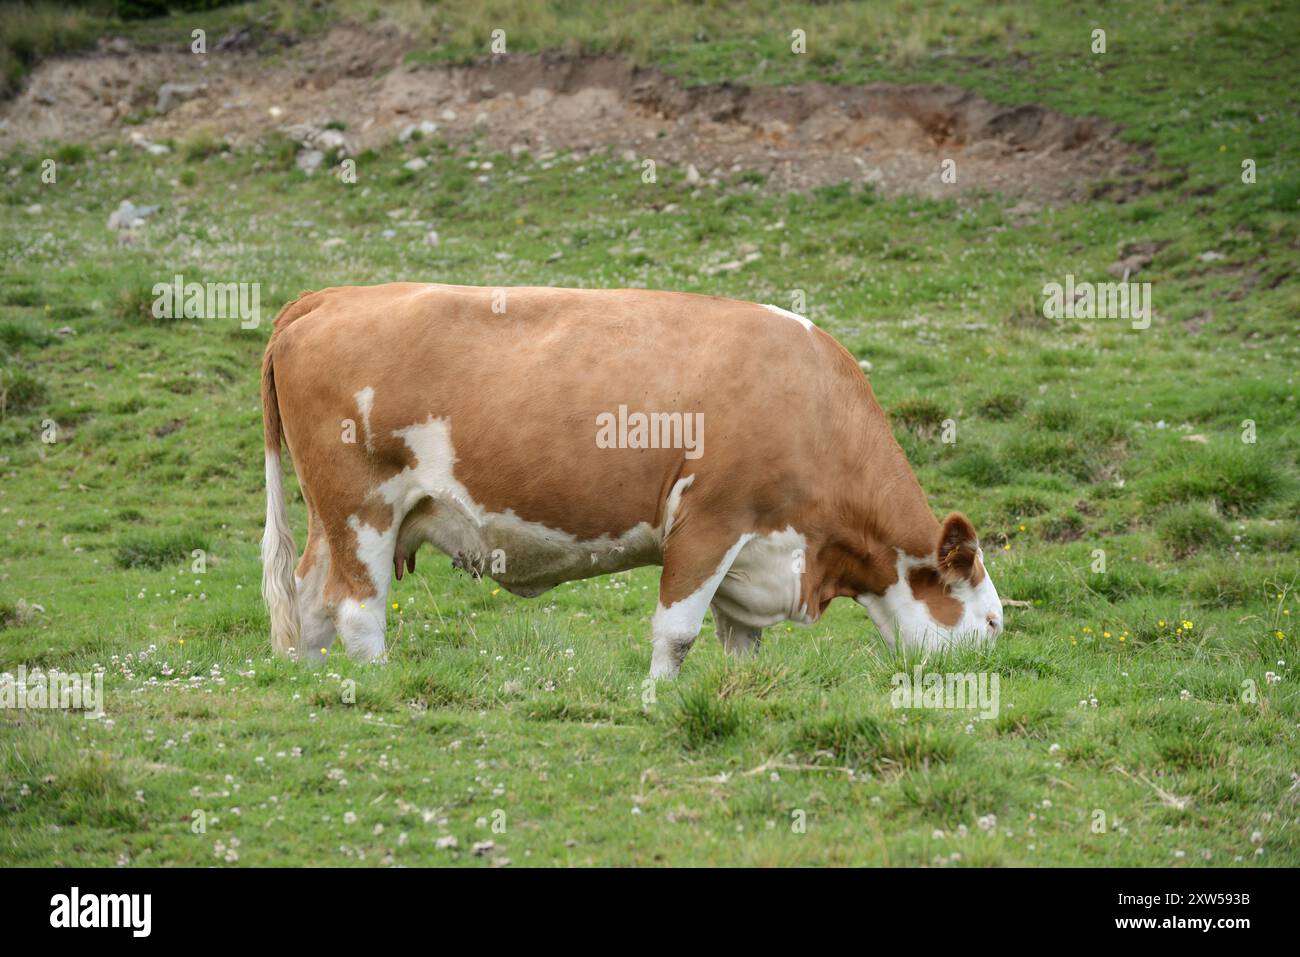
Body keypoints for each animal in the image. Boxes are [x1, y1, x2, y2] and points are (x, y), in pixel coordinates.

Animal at [261, 283, 1003, 677]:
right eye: (993, 620)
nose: (995, 653)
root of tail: (334, 295)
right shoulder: (709, 522)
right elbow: (676, 631)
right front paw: (659, 695)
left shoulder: (757, 554)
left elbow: (743, 644)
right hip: (362, 507)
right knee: (357, 610)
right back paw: (375, 685)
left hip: (333, 517)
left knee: (310, 600)